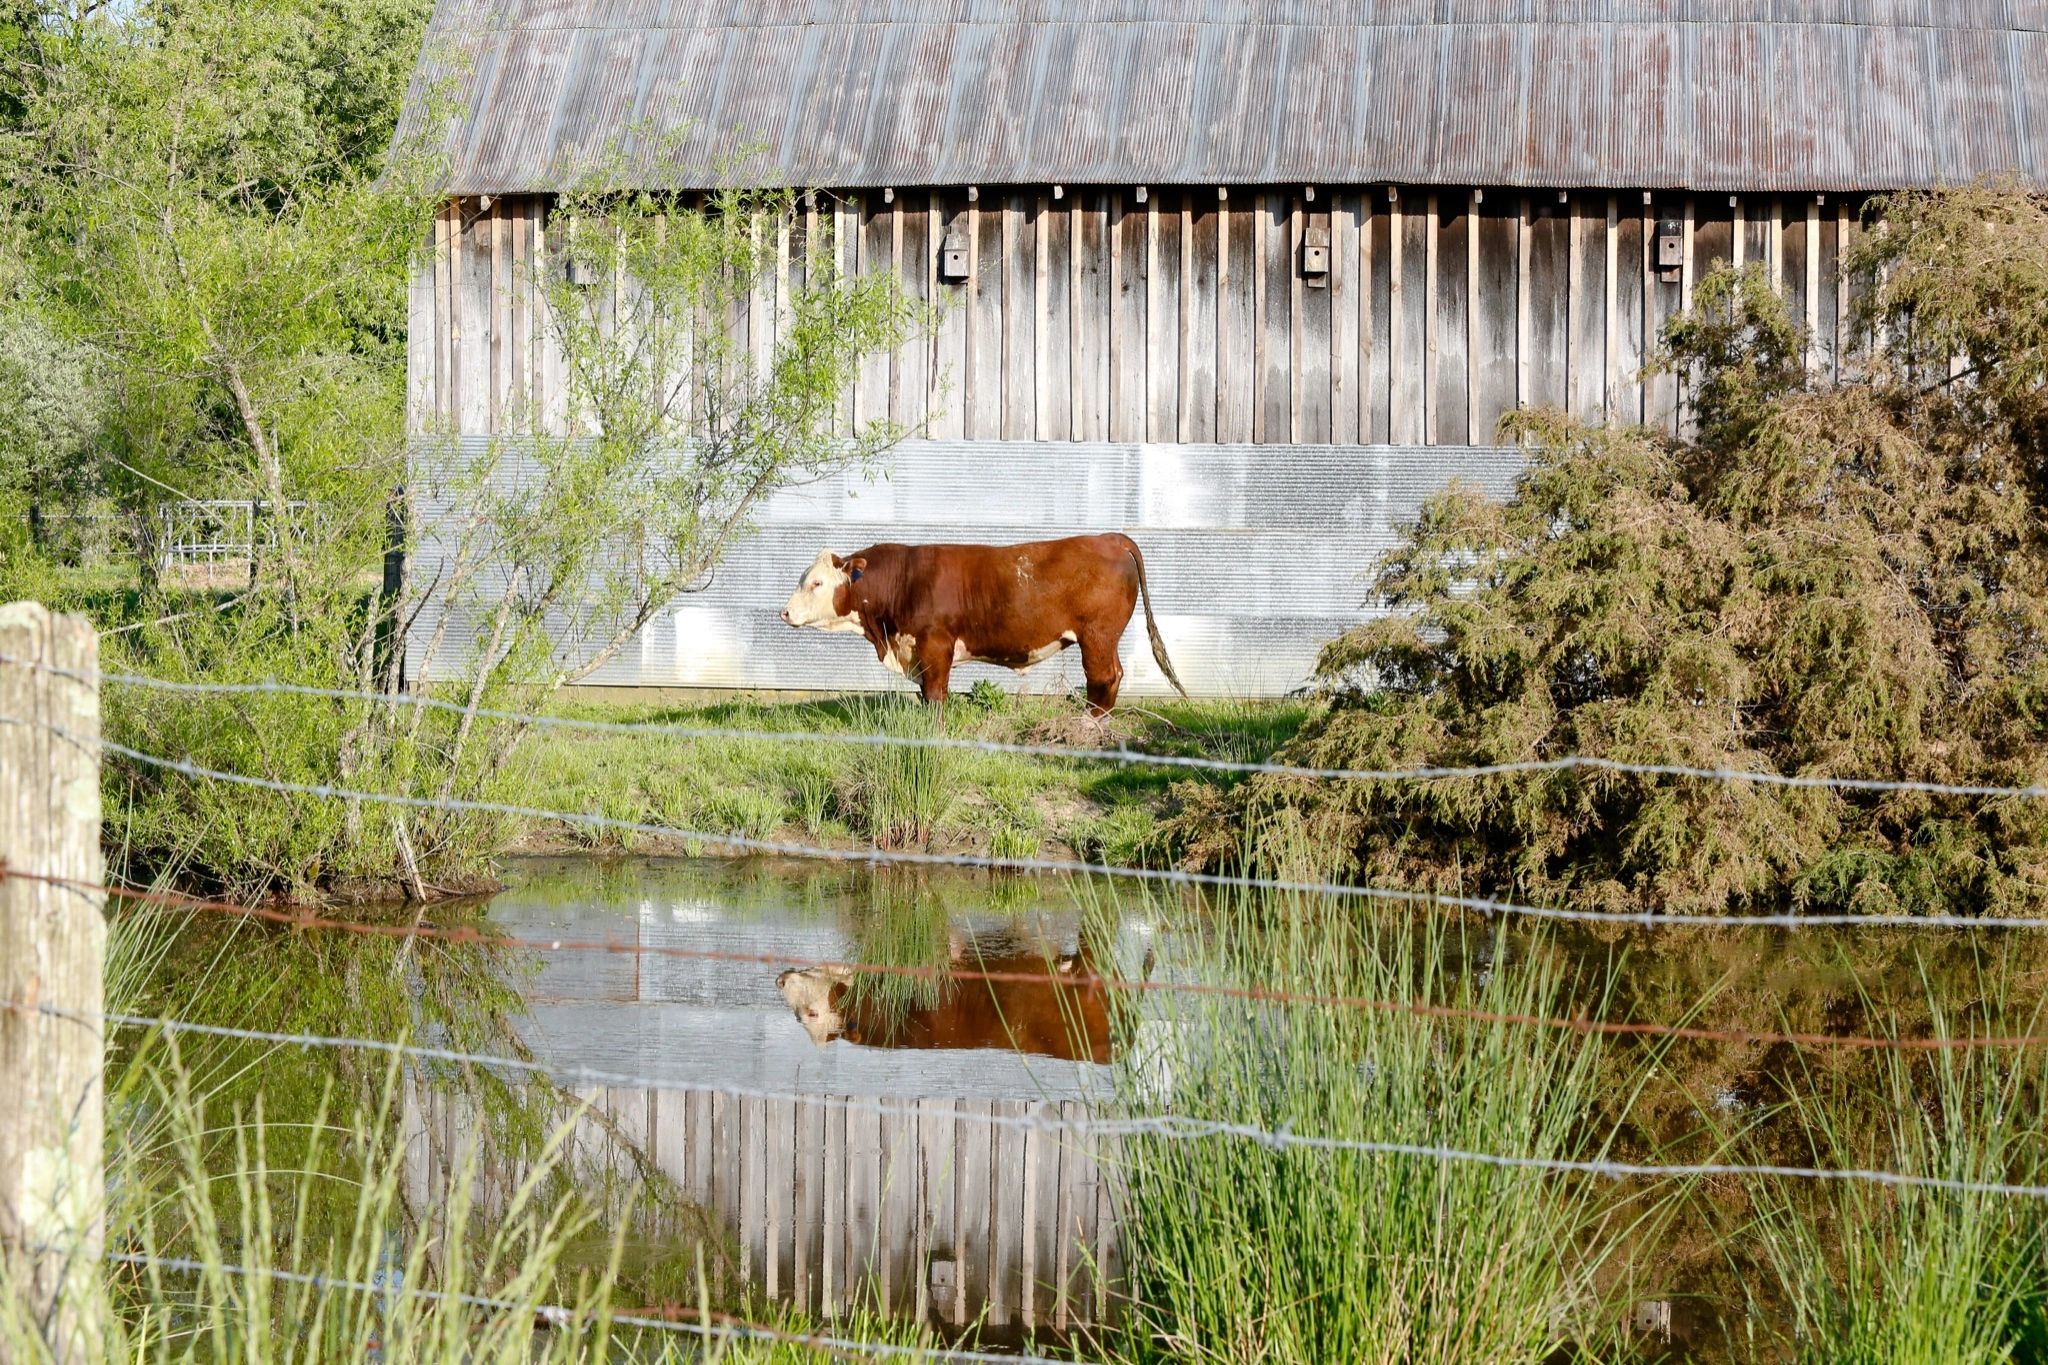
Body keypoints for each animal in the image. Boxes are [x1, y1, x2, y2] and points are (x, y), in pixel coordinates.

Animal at [779, 532, 1187, 715]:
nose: (784, 612)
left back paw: (1090, 724)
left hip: (1098, 636)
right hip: (1102, 638)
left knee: (1104, 678)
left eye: (816, 583)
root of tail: (1109, 537)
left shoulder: (935, 647)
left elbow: (935, 696)